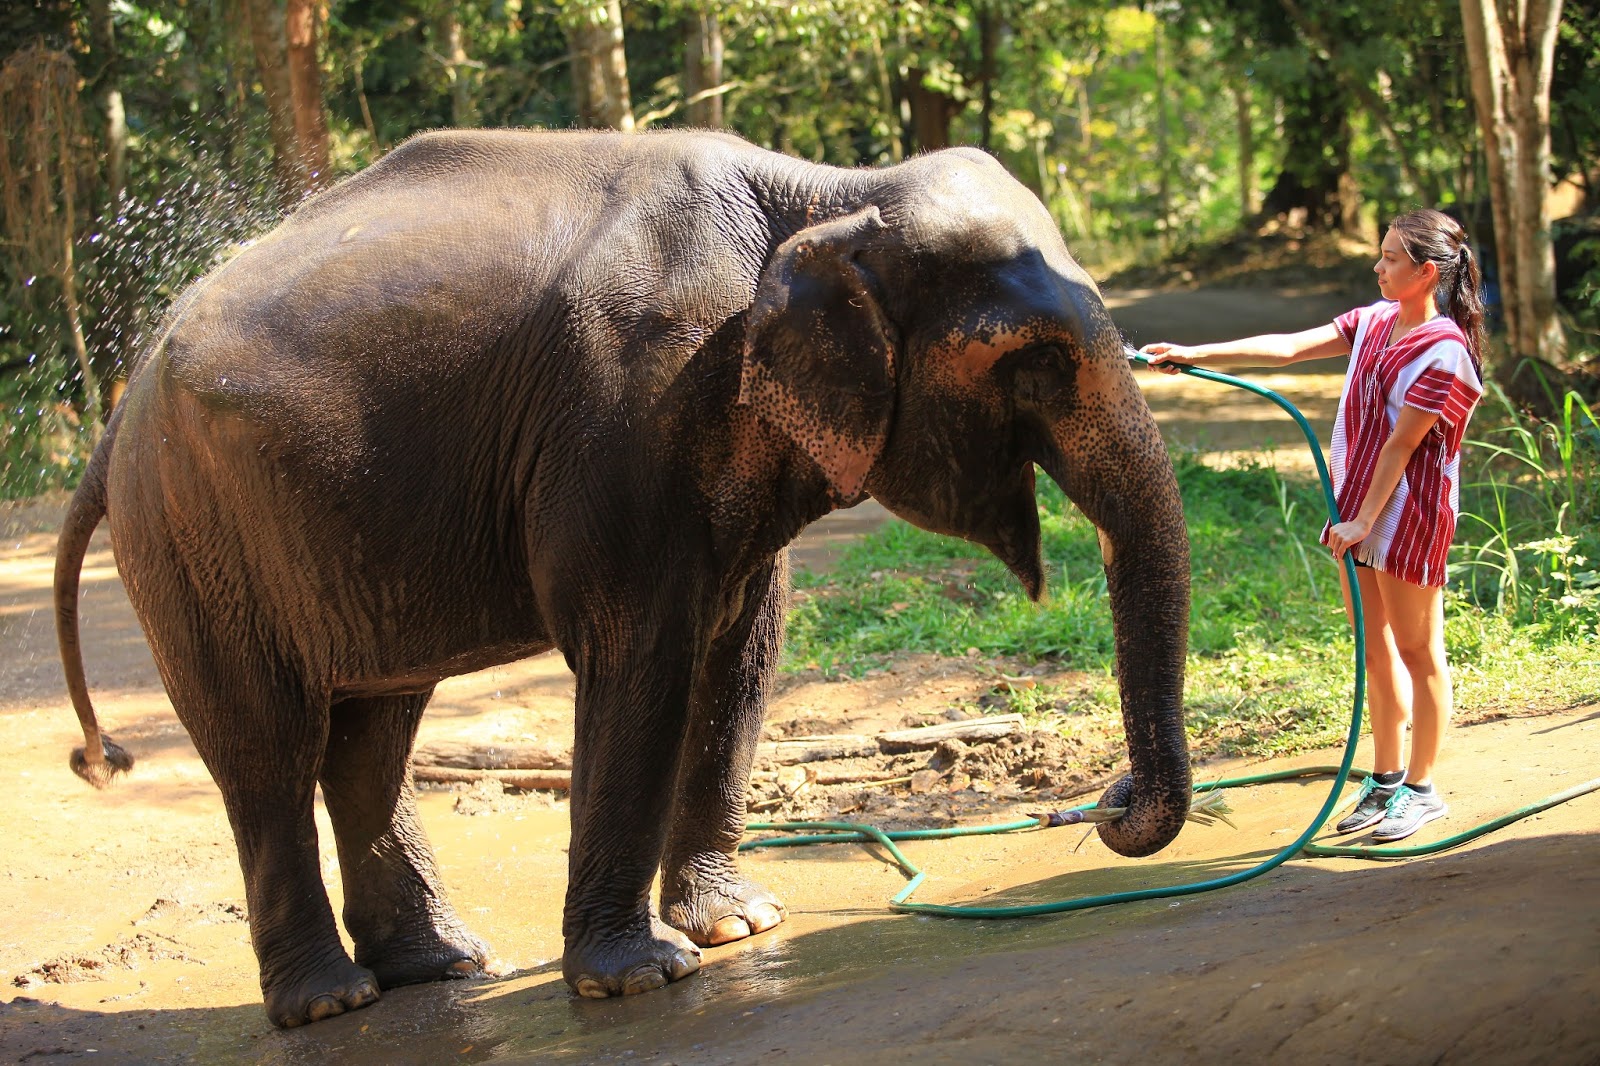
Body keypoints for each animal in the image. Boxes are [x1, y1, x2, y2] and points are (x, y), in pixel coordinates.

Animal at [54, 128, 1192, 1027]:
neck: (826, 191)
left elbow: (744, 652)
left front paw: (740, 924)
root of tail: (118, 414)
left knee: (373, 732)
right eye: (1034, 360)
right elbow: (642, 656)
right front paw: (641, 976)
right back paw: (331, 1002)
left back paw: (441, 967)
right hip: (196, 540)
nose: (1106, 799)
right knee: (271, 748)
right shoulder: (628, 409)